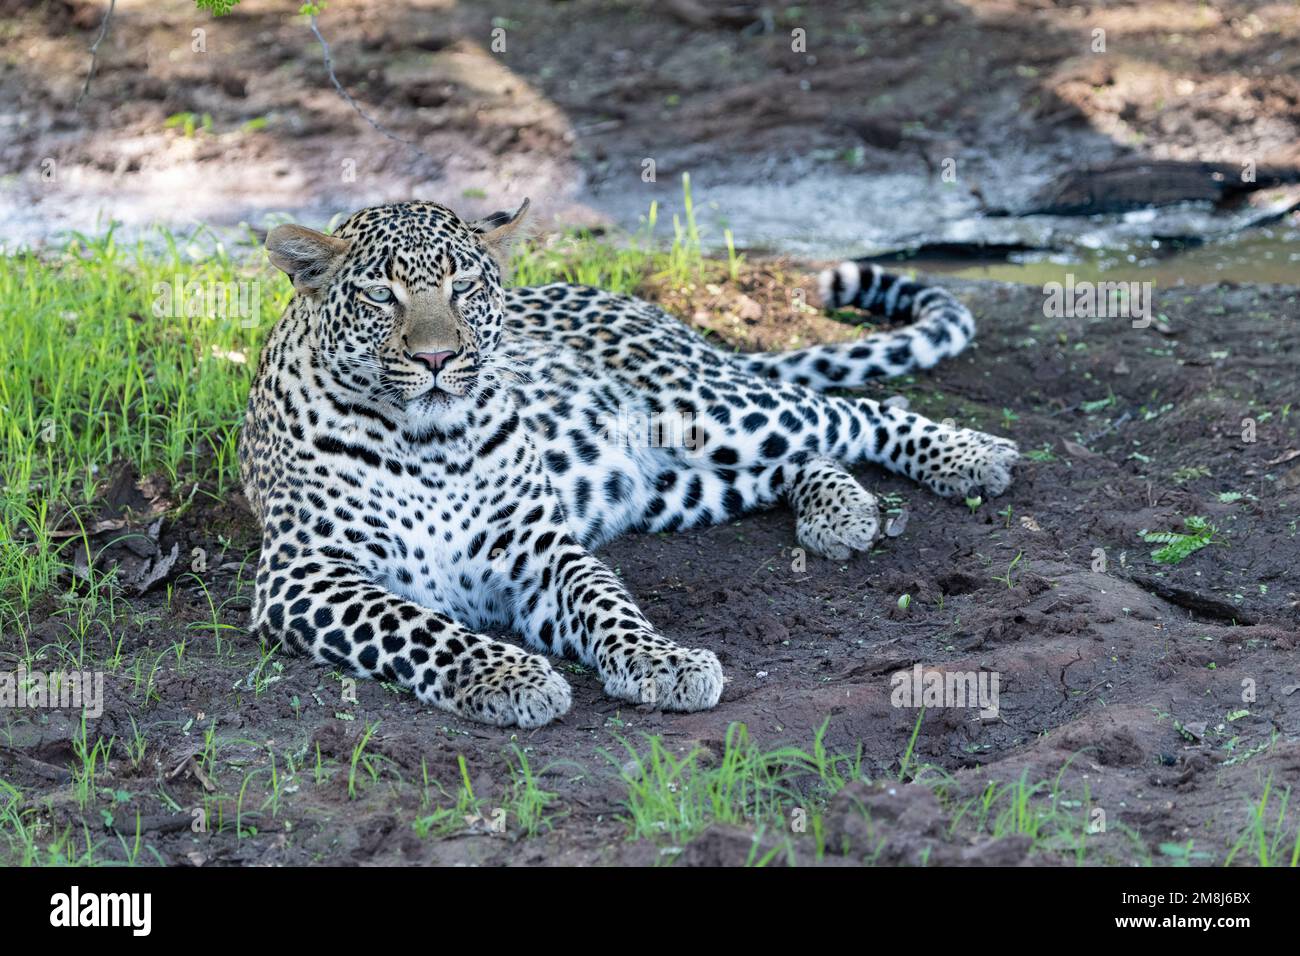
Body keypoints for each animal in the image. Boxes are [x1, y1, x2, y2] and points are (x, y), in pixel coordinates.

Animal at [238, 199, 1018, 728]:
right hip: (668, 483)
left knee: (851, 411)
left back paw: (970, 456)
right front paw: (511, 678)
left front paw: (663, 662)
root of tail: (655, 313)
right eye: (380, 294)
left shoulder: (540, 549)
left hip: (705, 407)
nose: (437, 358)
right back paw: (842, 511)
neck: (428, 442)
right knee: (793, 460)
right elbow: (419, 626)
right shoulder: (305, 575)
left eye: (464, 288)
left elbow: (606, 603)